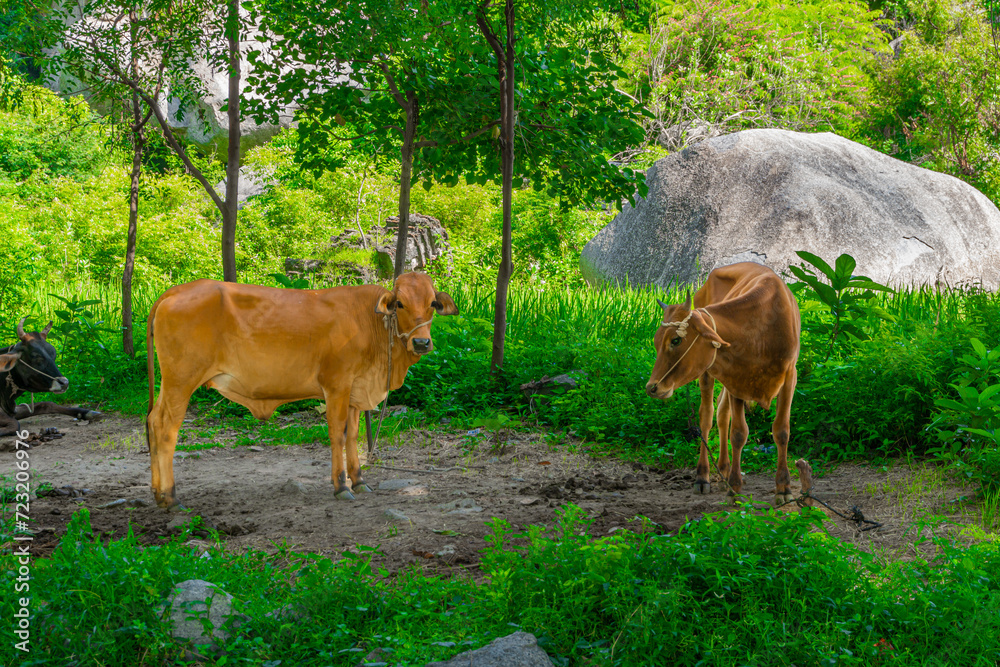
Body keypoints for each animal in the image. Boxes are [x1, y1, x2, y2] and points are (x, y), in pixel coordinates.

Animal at [145, 272, 458, 510]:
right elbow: (337, 434)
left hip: (169, 383)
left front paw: (359, 481)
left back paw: (157, 494)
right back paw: (171, 497)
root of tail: (175, 291)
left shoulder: (355, 392)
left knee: (152, 420)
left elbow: (353, 436)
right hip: (181, 381)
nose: (421, 343)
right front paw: (341, 486)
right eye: (401, 304)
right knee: (166, 428)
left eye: (432, 303)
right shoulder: (336, 385)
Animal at [645, 263, 801, 505]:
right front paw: (735, 489)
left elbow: (782, 430)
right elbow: (738, 433)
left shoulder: (789, 375)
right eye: (655, 341)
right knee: (708, 417)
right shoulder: (737, 379)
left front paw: (783, 487)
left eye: (676, 340)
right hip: (707, 373)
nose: (652, 387)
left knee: (722, 413)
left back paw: (724, 469)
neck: (761, 331)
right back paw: (704, 476)